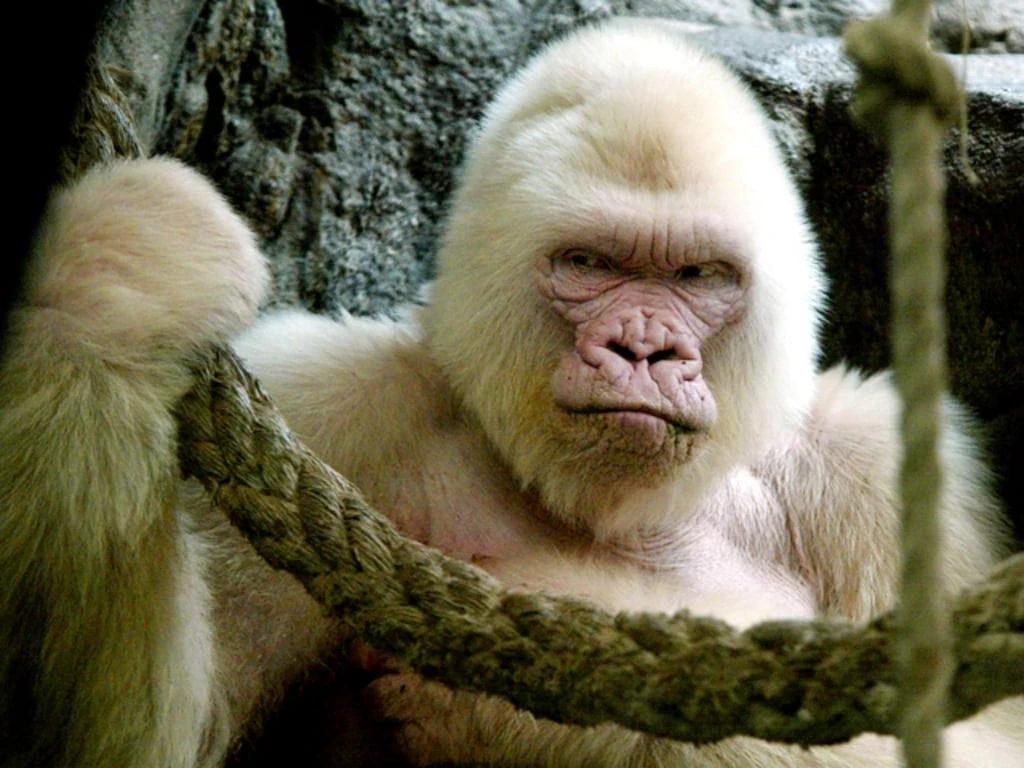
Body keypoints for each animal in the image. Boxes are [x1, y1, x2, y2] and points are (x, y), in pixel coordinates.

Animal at [1, 16, 1021, 768]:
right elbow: (154, 742)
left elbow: (980, 738)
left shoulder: (877, 465)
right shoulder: (330, 398)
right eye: (589, 264)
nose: (645, 348)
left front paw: (544, 716)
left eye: (698, 275)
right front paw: (113, 287)